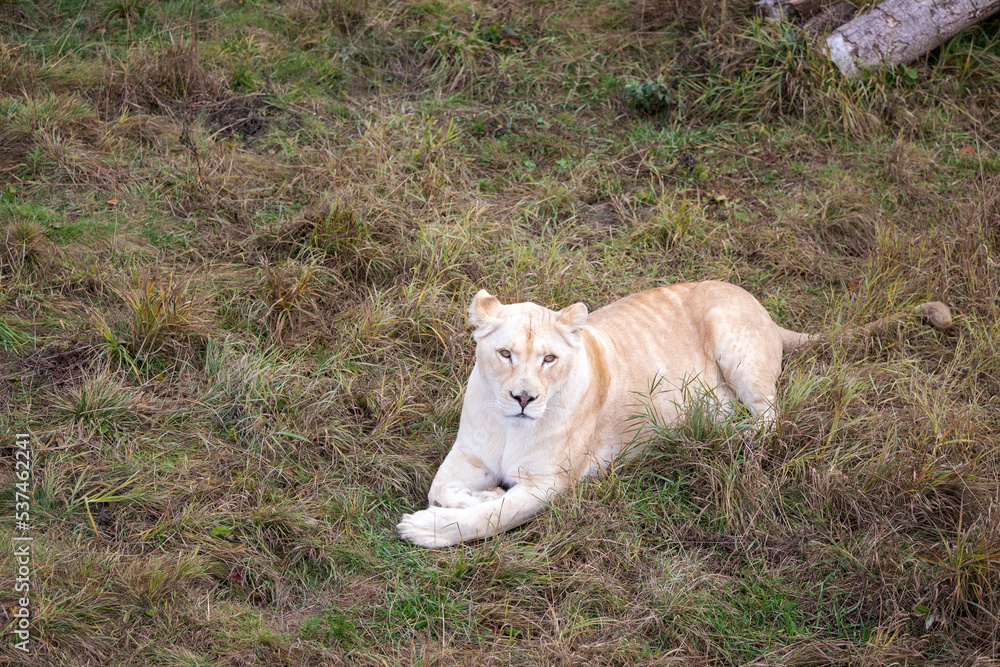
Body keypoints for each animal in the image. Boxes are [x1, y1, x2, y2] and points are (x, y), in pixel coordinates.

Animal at [397, 280, 819, 548]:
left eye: (549, 359)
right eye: (505, 354)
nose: (523, 398)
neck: (508, 428)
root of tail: (760, 306)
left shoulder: (549, 484)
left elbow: (492, 518)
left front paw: (423, 528)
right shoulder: (469, 455)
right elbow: (439, 489)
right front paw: (484, 494)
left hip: (735, 345)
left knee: (769, 419)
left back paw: (719, 439)